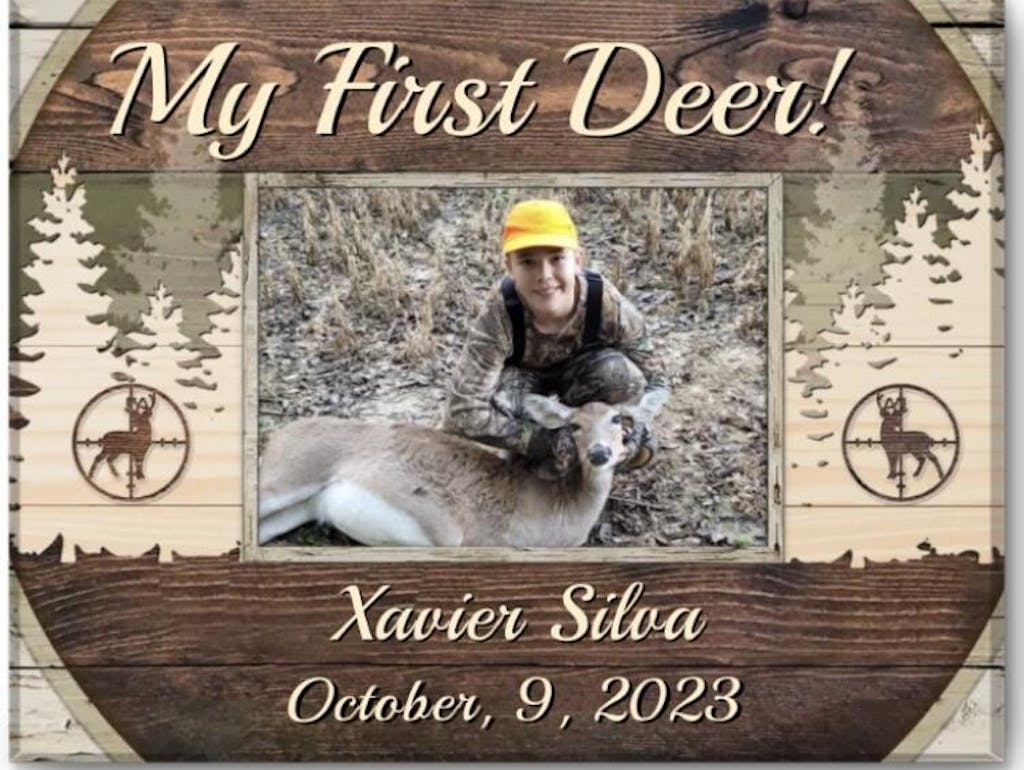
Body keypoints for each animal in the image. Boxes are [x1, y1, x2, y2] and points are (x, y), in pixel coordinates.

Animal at [257, 389, 668, 547]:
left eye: (617, 419)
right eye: (575, 425)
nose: (599, 453)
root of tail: (278, 434)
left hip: (301, 507)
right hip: (285, 478)